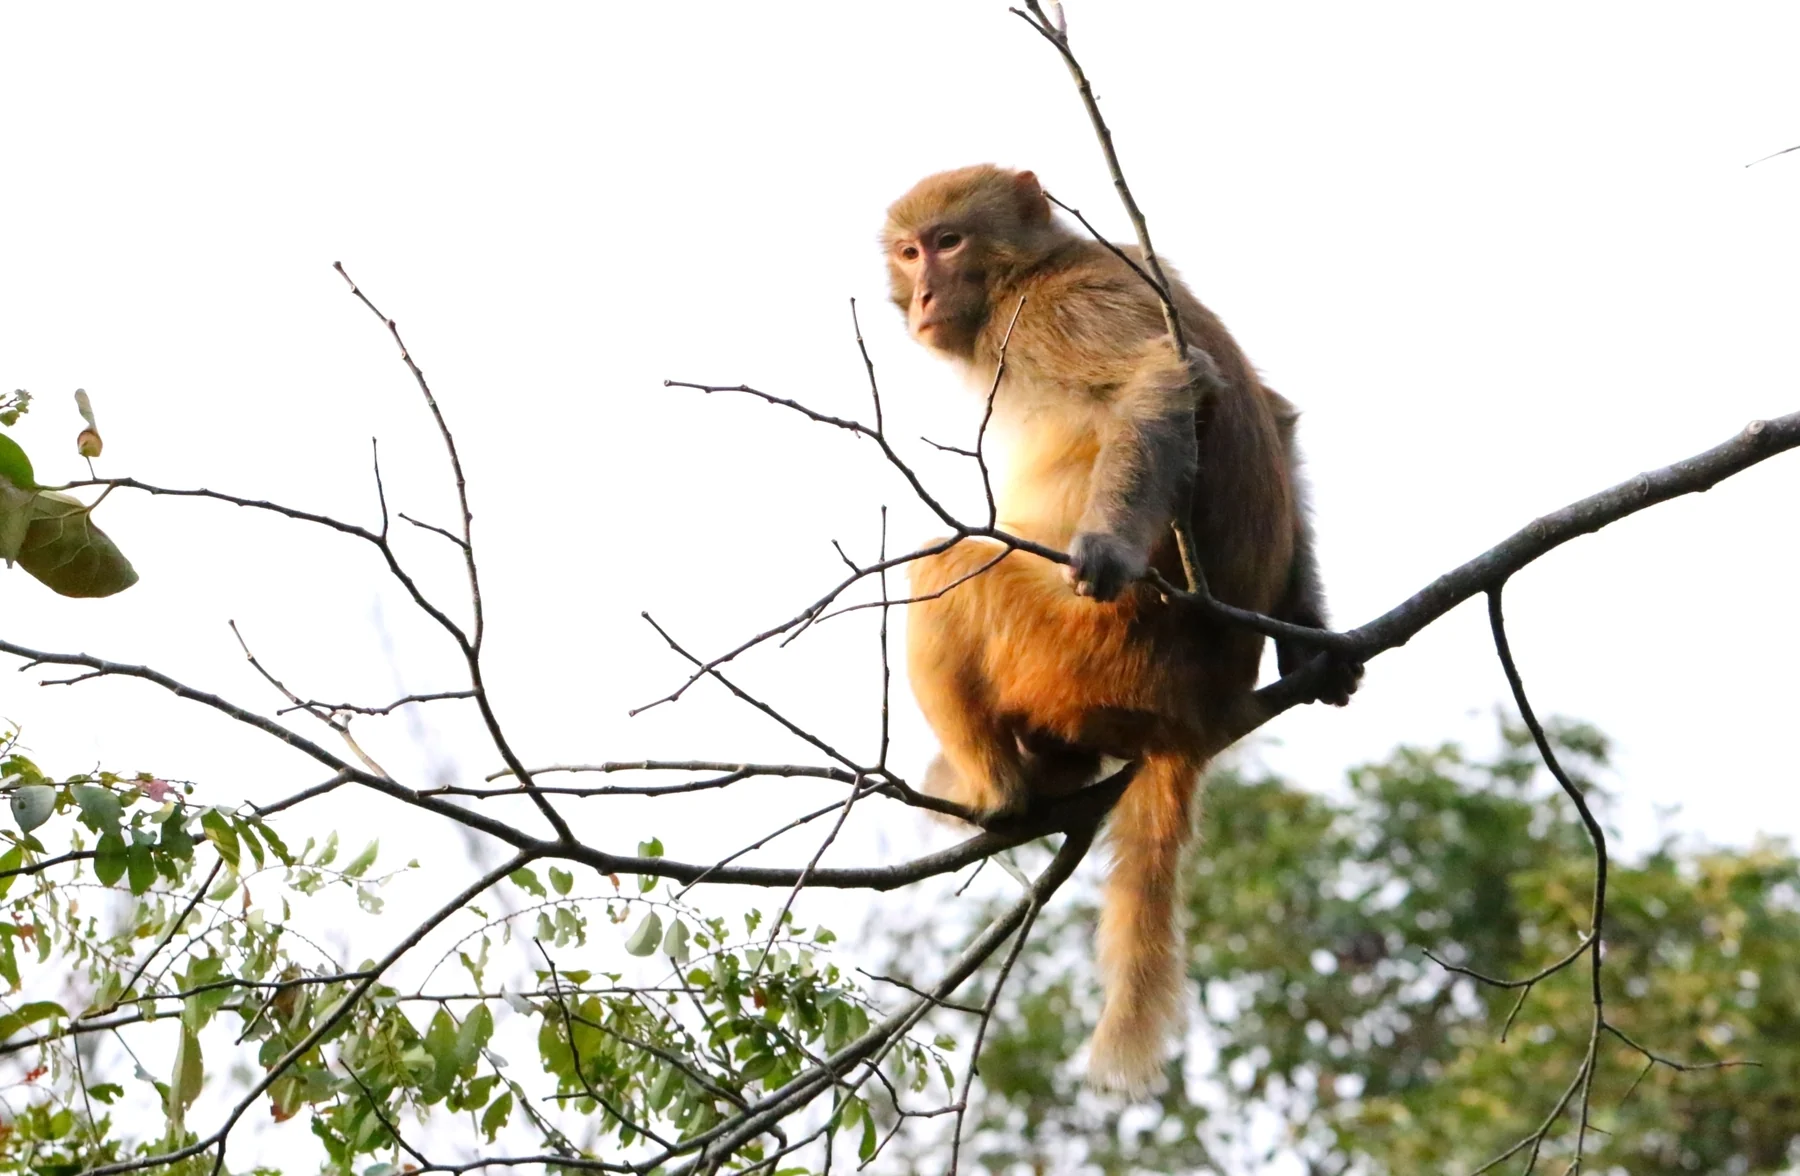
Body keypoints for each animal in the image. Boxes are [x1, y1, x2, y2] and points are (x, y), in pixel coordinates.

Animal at [882, 164, 1354, 1095]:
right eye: (910, 251)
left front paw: (1102, 548)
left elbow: (1166, 378)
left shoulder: (1055, 313)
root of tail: (1199, 713)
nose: (921, 292)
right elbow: (1276, 412)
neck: (1034, 268)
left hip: (1082, 659)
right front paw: (1312, 642)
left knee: (950, 567)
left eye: (948, 242)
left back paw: (1000, 789)